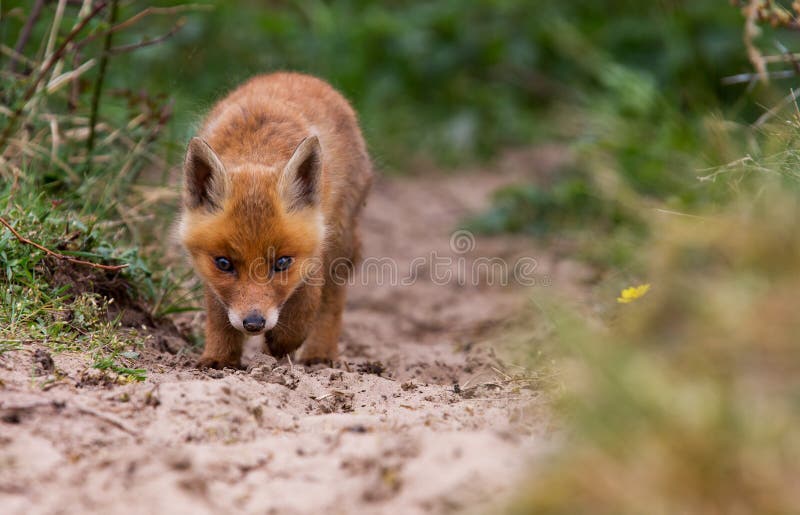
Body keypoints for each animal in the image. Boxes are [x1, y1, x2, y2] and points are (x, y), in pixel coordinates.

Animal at [179, 72, 372, 369]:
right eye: (224, 263)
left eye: (281, 263)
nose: (254, 323)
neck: (257, 151)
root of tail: (297, 75)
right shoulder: (210, 273)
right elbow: (219, 316)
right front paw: (219, 358)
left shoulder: (315, 246)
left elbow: (307, 302)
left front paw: (284, 341)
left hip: (339, 235)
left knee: (332, 299)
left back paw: (320, 354)